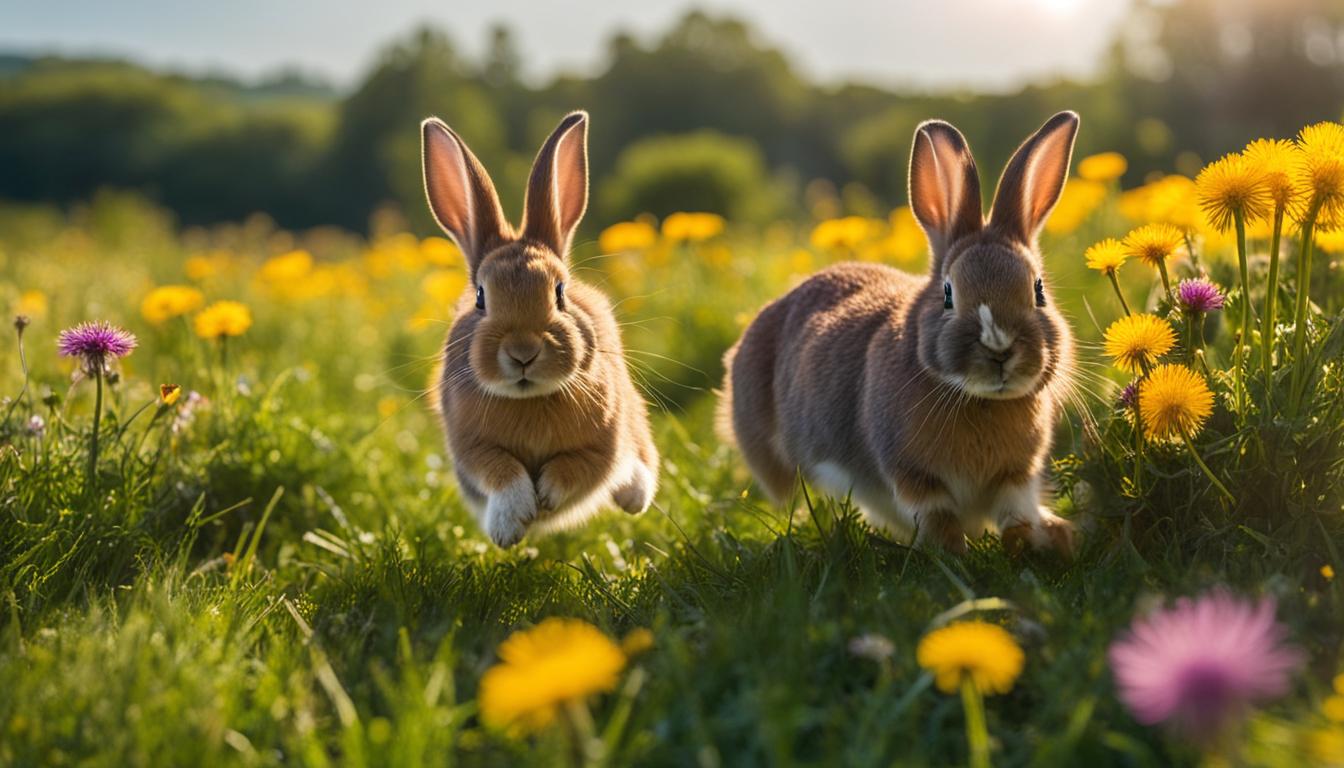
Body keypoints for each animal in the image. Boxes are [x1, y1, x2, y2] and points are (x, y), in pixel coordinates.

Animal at [421, 111, 659, 548]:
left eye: (559, 292)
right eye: (481, 297)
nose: (523, 353)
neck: (529, 400)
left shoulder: (606, 438)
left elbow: (584, 465)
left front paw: (547, 495)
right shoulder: (469, 448)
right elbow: (500, 470)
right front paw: (510, 525)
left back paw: (633, 496)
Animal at [719, 112, 1080, 556]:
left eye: (1038, 290)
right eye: (948, 294)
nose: (999, 349)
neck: (978, 400)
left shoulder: (1015, 476)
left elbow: (1016, 512)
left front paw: (1052, 536)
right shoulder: (912, 474)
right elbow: (936, 515)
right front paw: (952, 551)